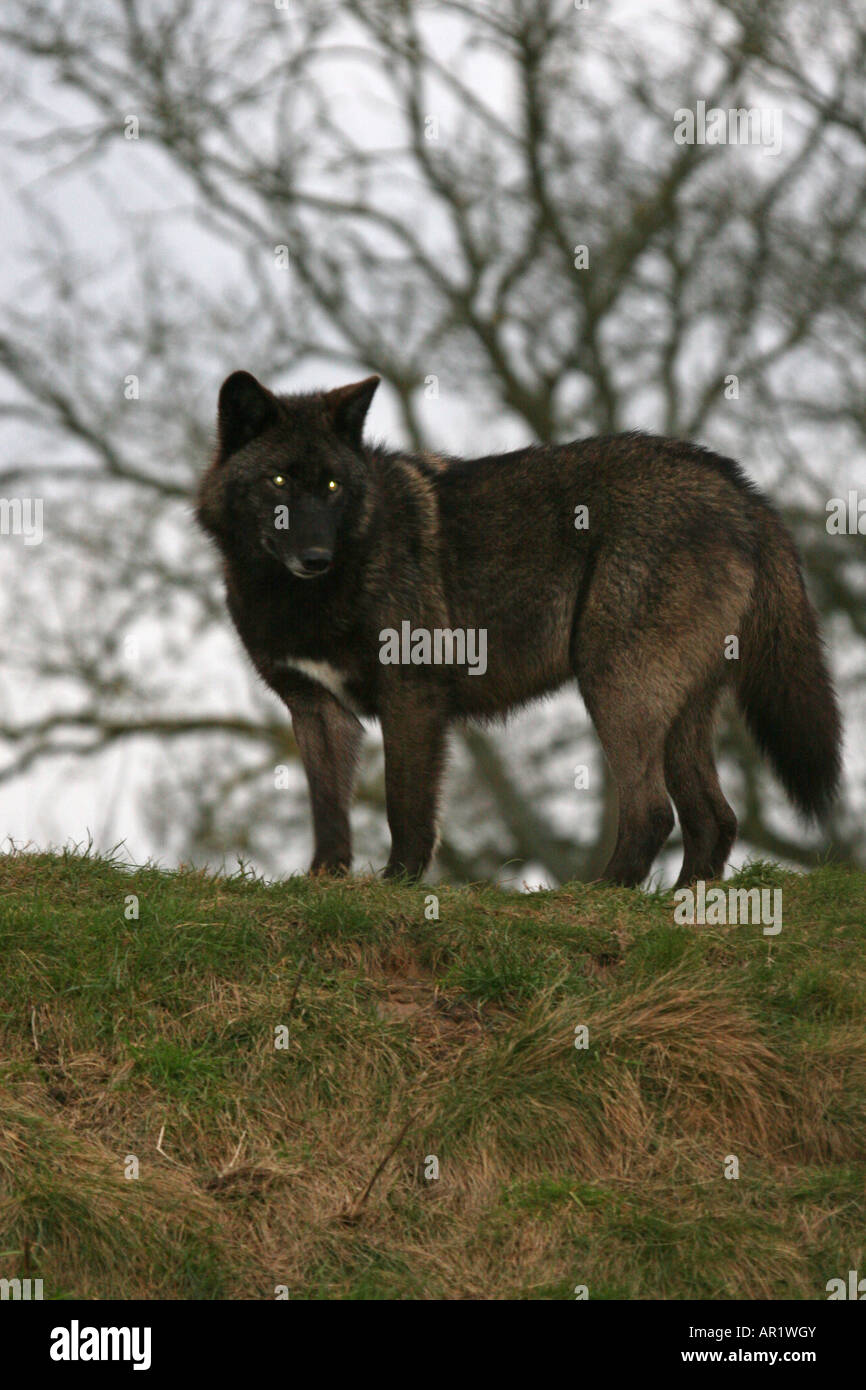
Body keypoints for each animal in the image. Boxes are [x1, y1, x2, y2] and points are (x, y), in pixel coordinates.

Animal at [196, 370, 841, 887]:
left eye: (331, 487)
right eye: (279, 483)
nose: (315, 557)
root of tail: (738, 487)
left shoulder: (412, 693)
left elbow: (405, 805)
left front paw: (396, 885)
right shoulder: (316, 708)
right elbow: (328, 810)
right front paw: (323, 884)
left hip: (614, 685)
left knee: (654, 811)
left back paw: (598, 895)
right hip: (676, 708)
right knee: (714, 817)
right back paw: (683, 904)